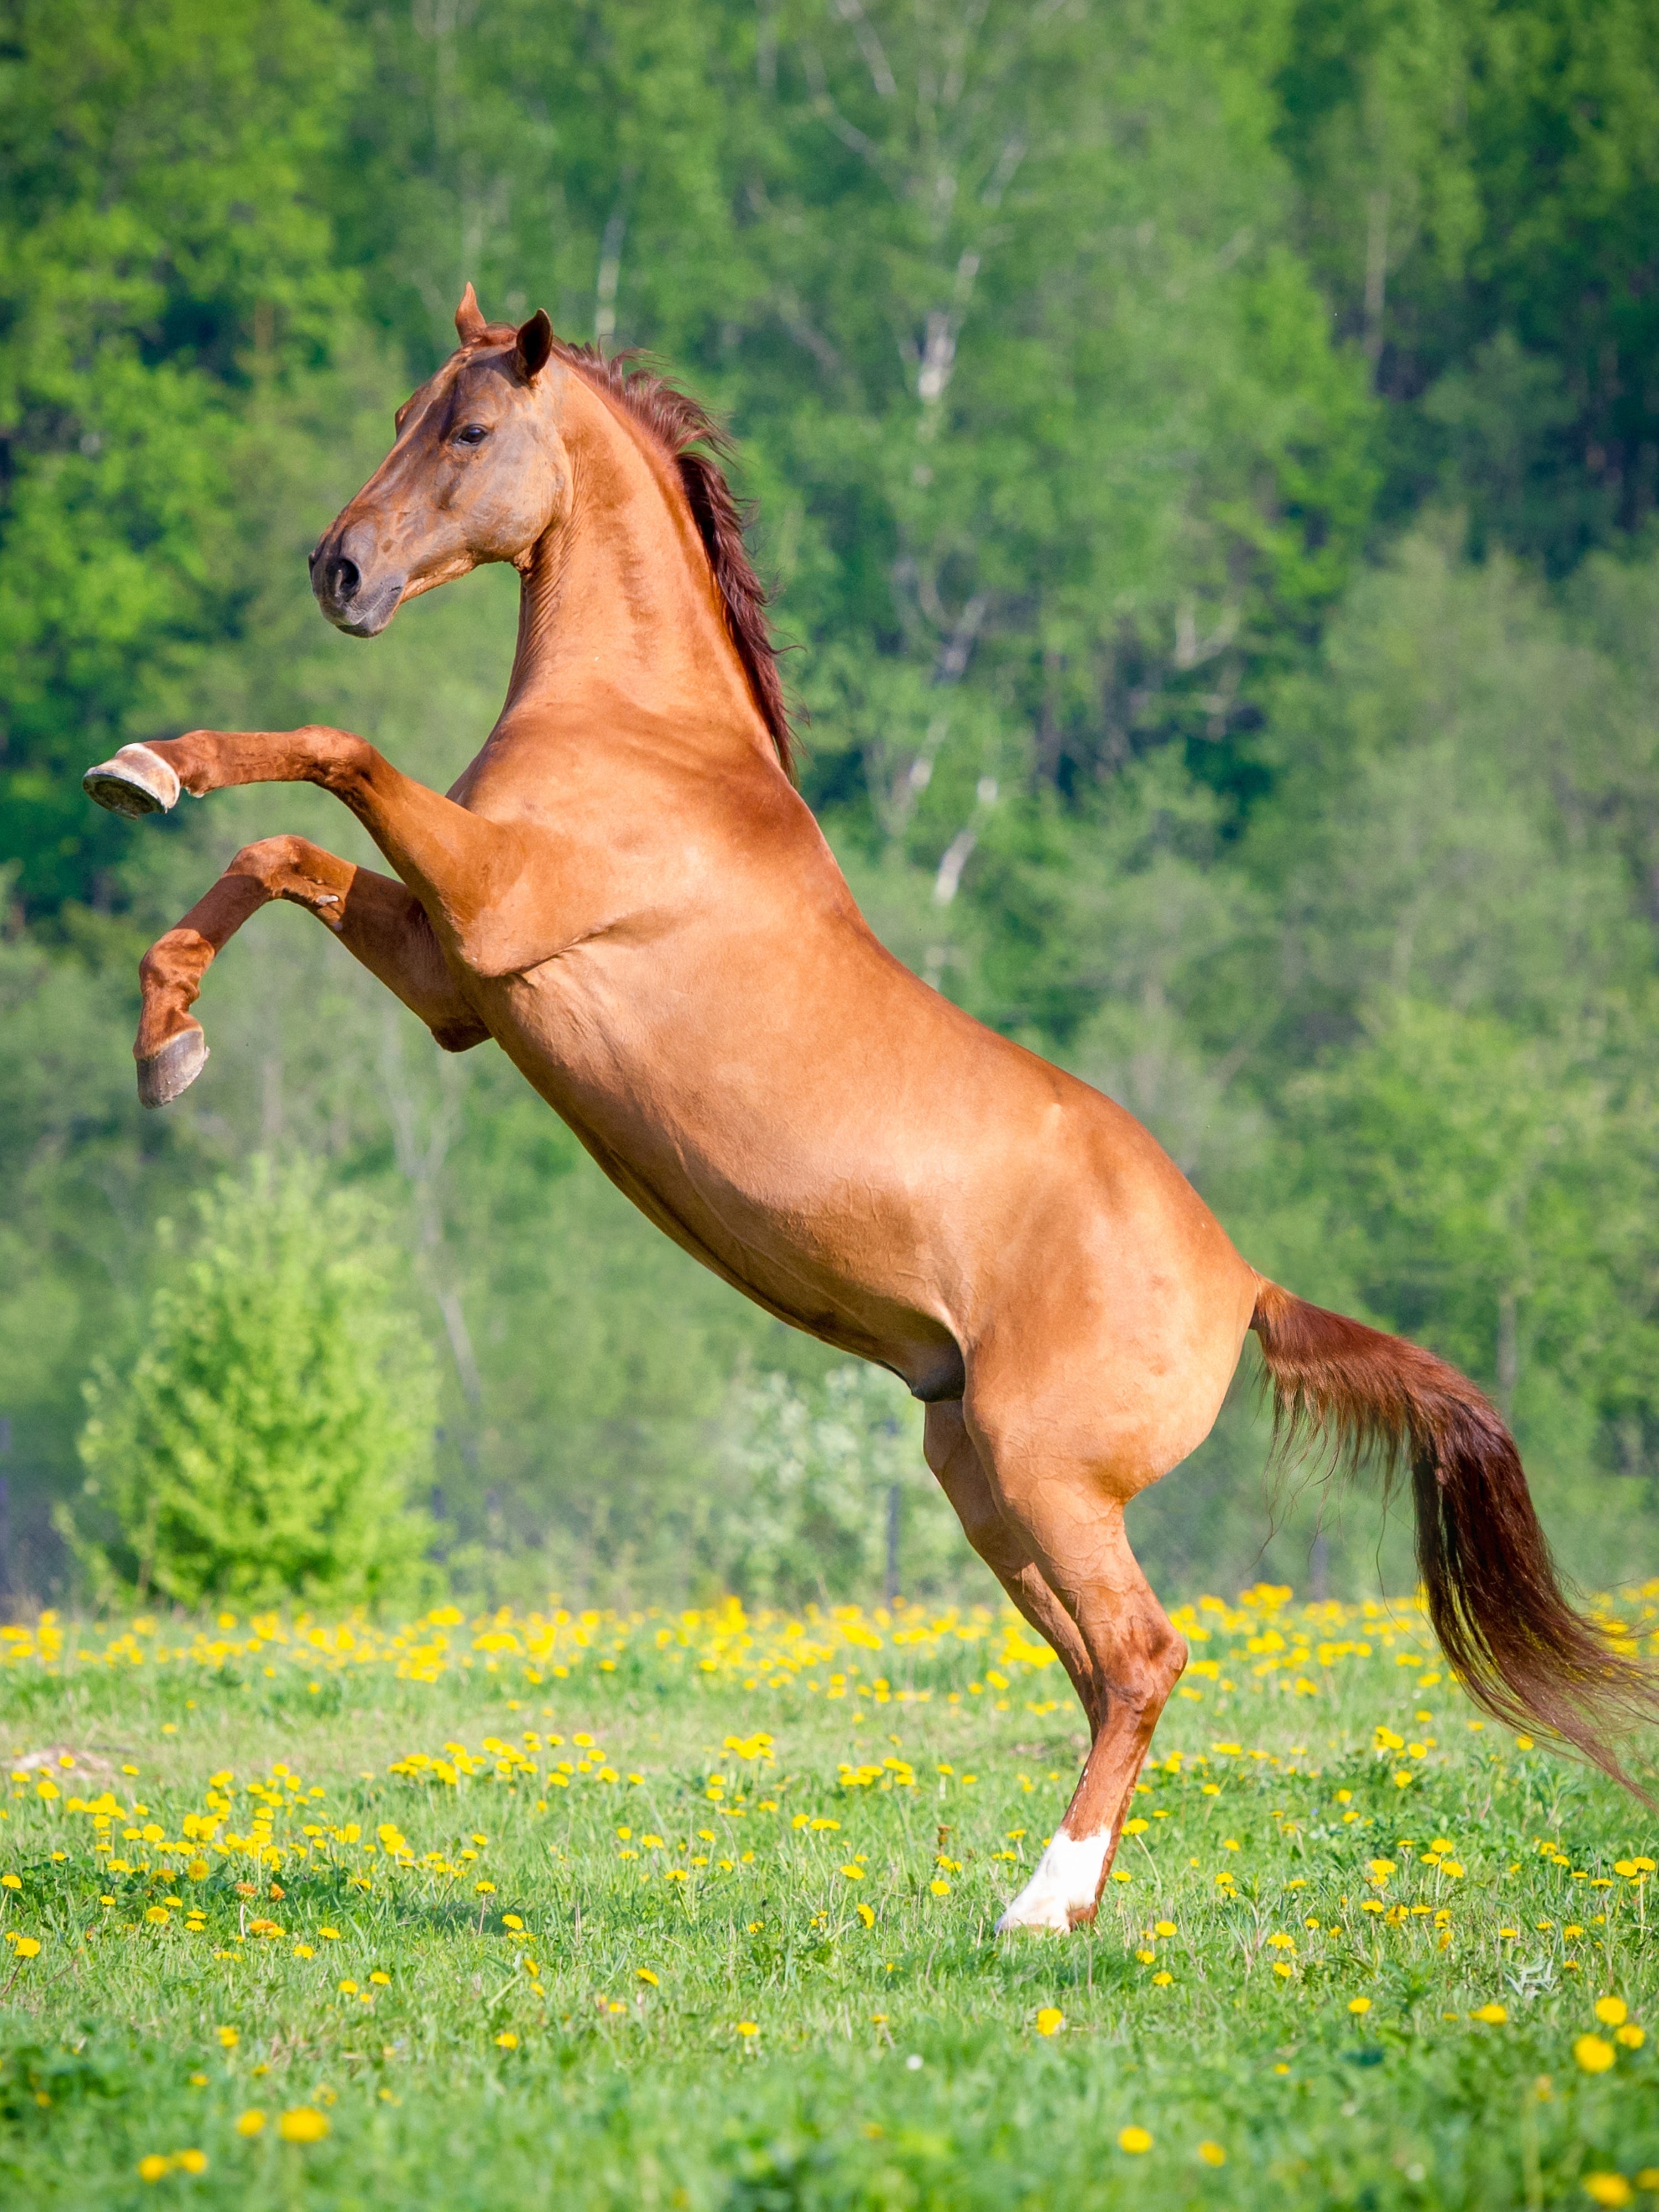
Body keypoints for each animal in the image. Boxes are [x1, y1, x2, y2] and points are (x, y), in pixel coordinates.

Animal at [82, 287, 1659, 1927]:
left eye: (468, 427)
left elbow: (332, 753)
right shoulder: (460, 983)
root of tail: (1245, 1283)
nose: (339, 568)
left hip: (1043, 1475)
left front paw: (147, 772)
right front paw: (165, 1029)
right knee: (1106, 1673)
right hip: (981, 1484)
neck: (648, 739)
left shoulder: (494, 908)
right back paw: (1066, 1906)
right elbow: (276, 852)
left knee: (1145, 1656)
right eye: (403, 412)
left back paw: (1036, 1909)